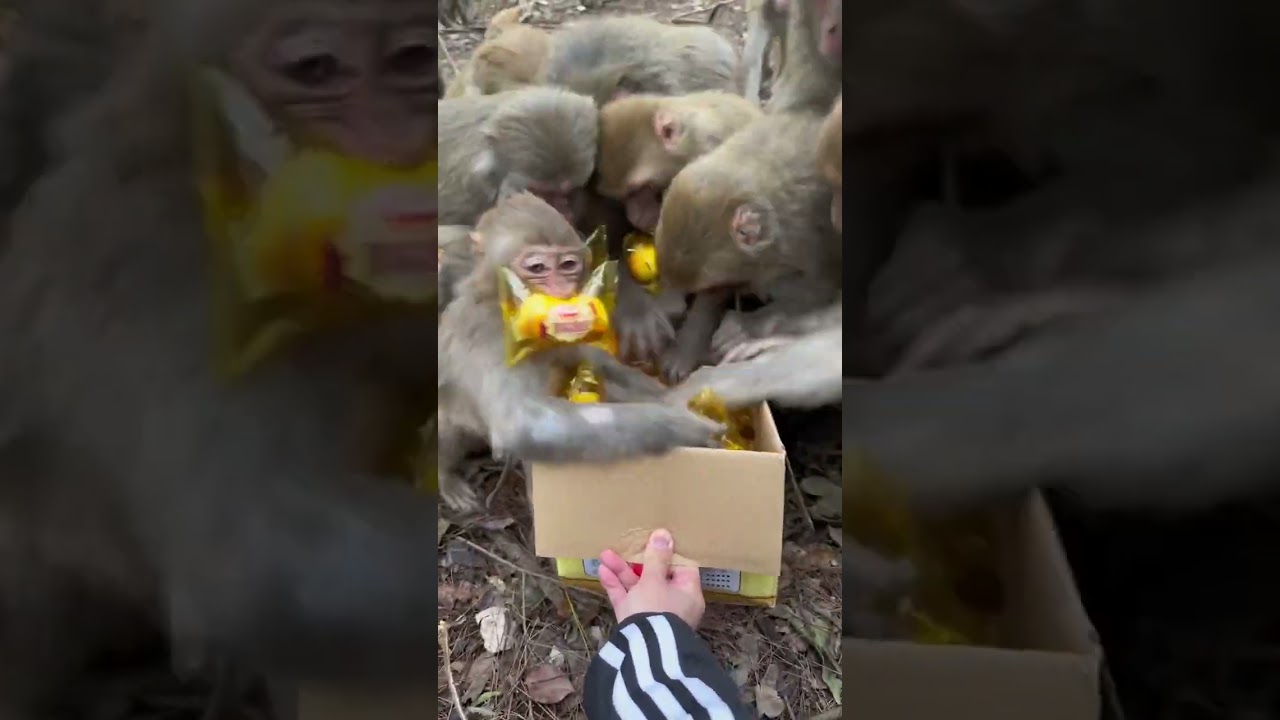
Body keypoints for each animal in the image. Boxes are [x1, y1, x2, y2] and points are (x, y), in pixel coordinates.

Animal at [436, 192, 723, 512]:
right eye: (537, 268)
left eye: (568, 265)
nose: (563, 293)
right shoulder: (490, 337)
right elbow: (522, 424)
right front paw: (681, 425)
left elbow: (588, 360)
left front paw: (675, 396)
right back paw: (445, 476)